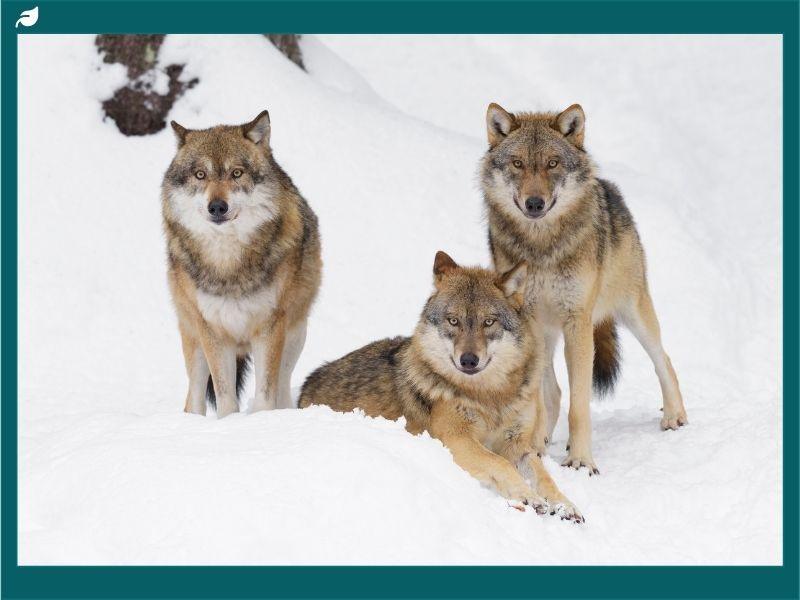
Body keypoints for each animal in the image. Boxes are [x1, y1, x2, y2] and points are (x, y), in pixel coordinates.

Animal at [162, 111, 321, 418]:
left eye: (236, 173)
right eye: (200, 174)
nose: (217, 207)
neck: (229, 265)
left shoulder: (270, 327)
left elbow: (265, 395)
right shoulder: (213, 331)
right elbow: (226, 398)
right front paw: (231, 423)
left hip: (295, 335)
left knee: (282, 387)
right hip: (194, 339)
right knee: (193, 399)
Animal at [299, 252, 582, 521]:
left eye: (488, 322)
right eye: (453, 321)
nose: (468, 360)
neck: (490, 396)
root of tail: (307, 384)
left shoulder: (517, 444)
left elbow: (544, 476)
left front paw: (565, 505)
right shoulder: (457, 439)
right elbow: (500, 464)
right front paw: (528, 497)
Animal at [481, 102, 687, 473]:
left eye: (552, 163)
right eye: (518, 163)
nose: (535, 203)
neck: (543, 248)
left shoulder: (578, 321)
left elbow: (580, 405)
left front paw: (580, 460)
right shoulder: (529, 320)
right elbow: (543, 398)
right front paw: (533, 449)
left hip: (633, 311)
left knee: (663, 358)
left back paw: (674, 415)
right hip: (546, 334)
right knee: (553, 393)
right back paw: (542, 441)